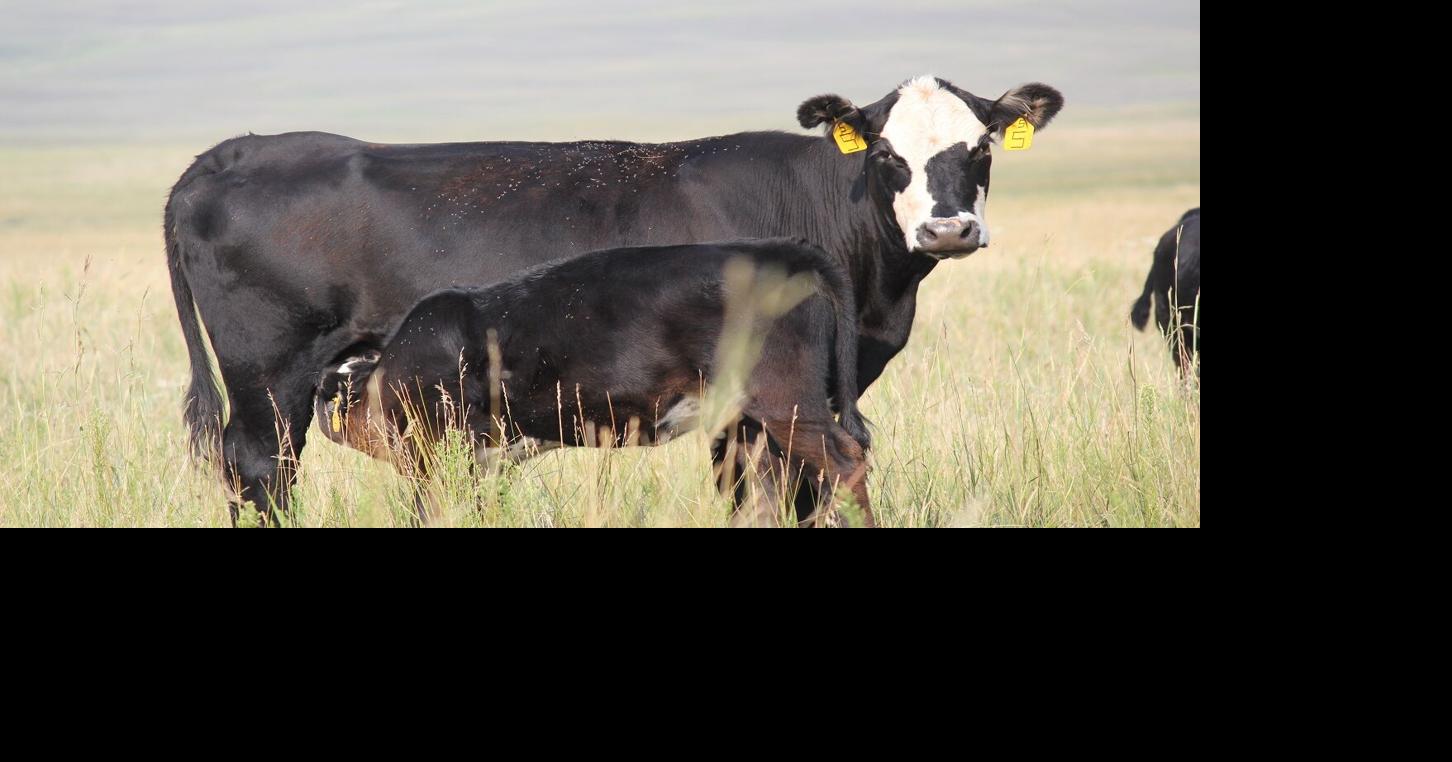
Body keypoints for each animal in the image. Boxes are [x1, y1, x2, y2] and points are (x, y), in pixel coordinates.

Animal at [315, 238, 872, 527]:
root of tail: (781, 251)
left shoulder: (440, 454)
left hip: (784, 398)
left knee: (844, 463)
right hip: (754, 420)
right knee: (768, 490)